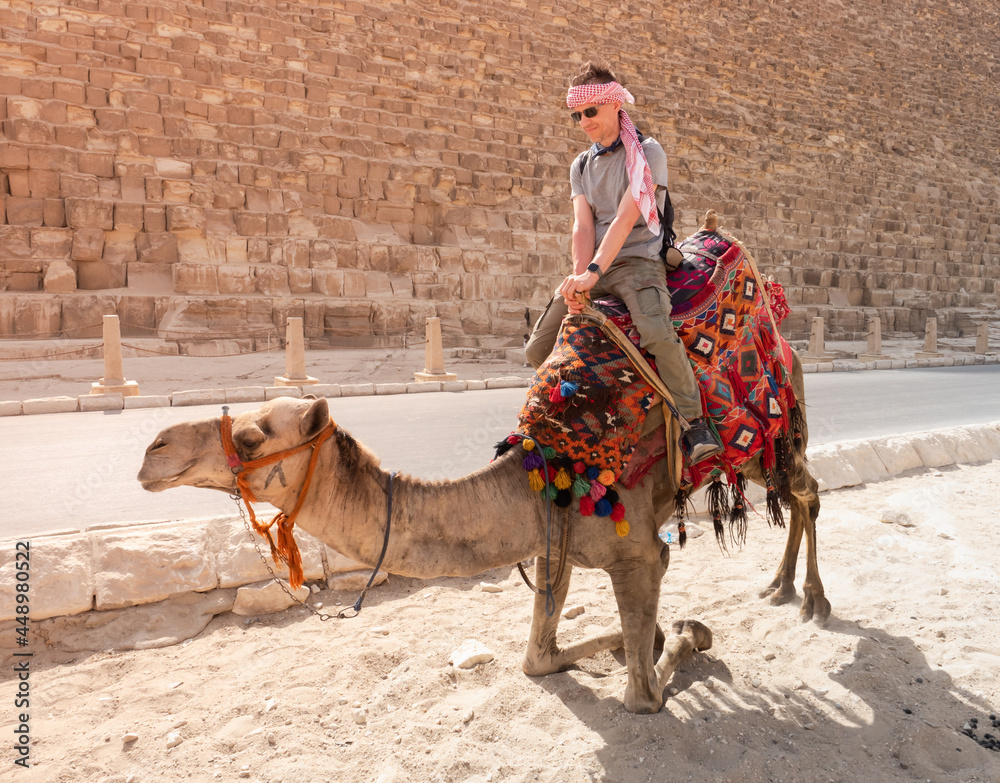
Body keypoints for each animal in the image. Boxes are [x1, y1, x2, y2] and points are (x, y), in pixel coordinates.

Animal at [138, 359, 827, 715]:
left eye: (252, 437)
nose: (152, 450)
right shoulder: (554, 538)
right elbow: (537, 659)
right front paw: (646, 635)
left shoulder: (640, 556)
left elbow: (642, 696)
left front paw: (687, 629)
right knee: (800, 497)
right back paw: (779, 586)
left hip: (769, 439)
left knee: (807, 490)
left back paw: (812, 599)